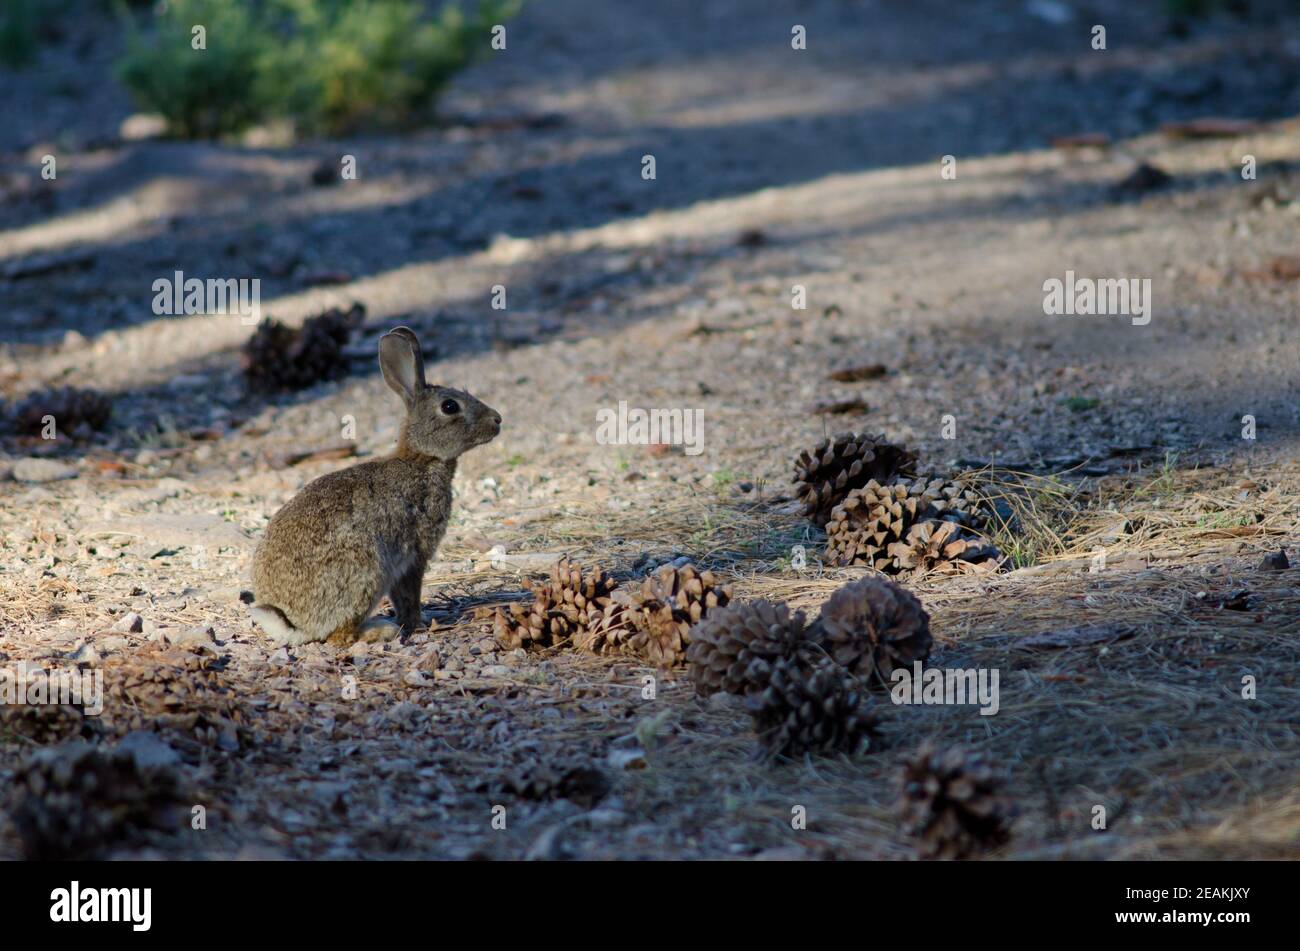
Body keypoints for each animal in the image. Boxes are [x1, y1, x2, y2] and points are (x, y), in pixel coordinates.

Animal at [249, 326, 501, 647]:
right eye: (449, 406)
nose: (497, 420)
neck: (422, 458)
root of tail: (294, 624)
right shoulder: (415, 553)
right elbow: (408, 595)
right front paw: (416, 622)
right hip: (367, 570)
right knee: (340, 635)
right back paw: (381, 630)